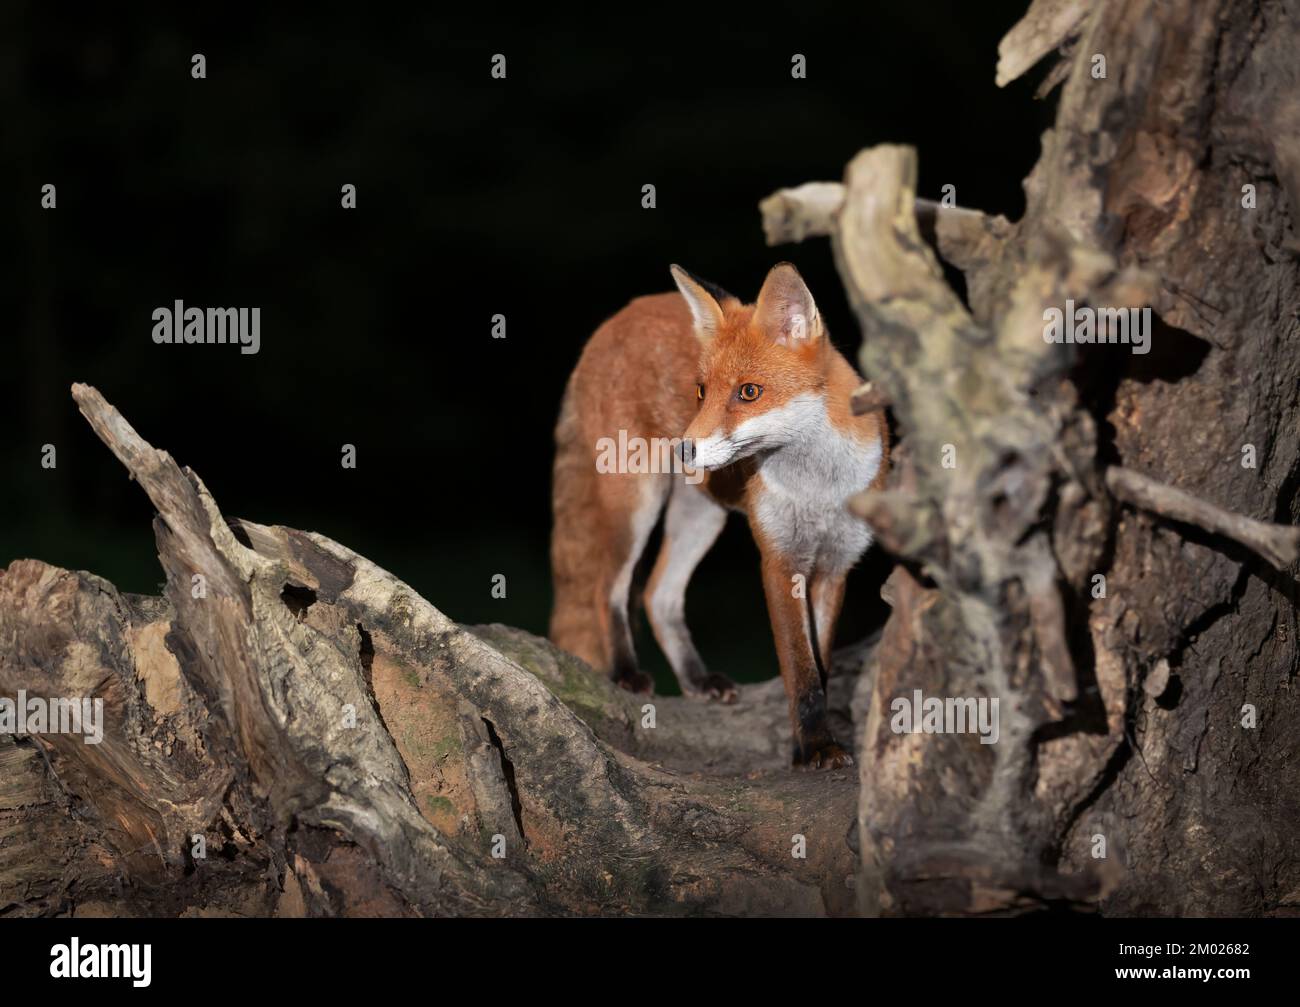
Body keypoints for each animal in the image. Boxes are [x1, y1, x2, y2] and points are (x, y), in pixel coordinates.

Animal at [549, 262, 889, 769]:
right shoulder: (779, 561)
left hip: (701, 519)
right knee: (607, 588)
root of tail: (617, 318)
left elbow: (820, 664)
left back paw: (696, 680)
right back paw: (626, 672)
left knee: (658, 595)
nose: (683, 448)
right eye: (701, 391)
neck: (818, 488)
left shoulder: (834, 566)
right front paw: (814, 747)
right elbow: (800, 670)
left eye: (749, 392)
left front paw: (806, 744)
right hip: (636, 503)